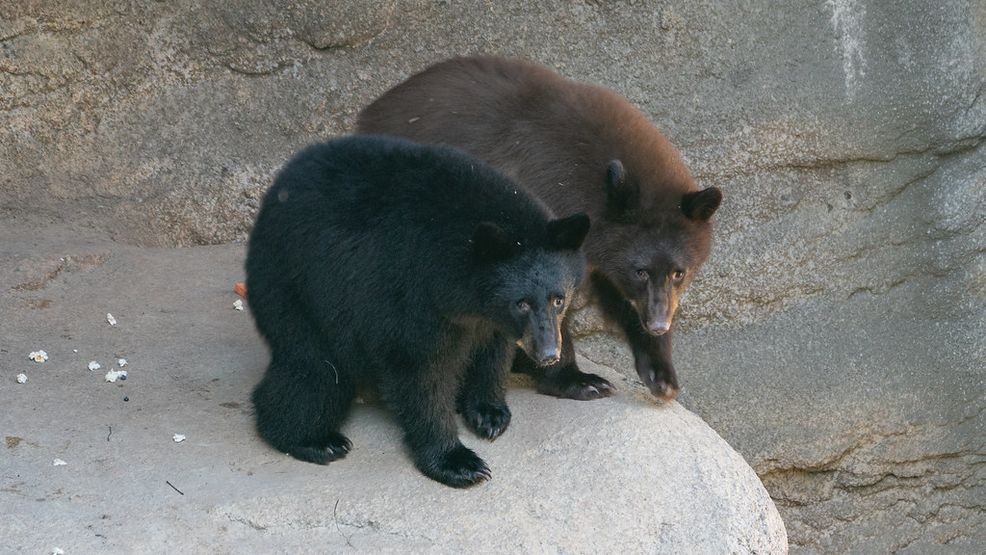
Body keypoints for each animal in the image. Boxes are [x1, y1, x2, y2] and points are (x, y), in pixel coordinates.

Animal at [245, 135, 589, 488]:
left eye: (558, 299)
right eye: (522, 302)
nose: (548, 353)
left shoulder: (488, 316)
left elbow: (493, 350)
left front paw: (489, 412)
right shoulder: (408, 291)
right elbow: (419, 369)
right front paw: (456, 461)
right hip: (299, 285)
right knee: (314, 367)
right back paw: (313, 439)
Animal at [357, 56, 722, 401]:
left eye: (679, 272)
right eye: (641, 271)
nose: (659, 324)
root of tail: (368, 114)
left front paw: (662, 374)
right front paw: (578, 380)